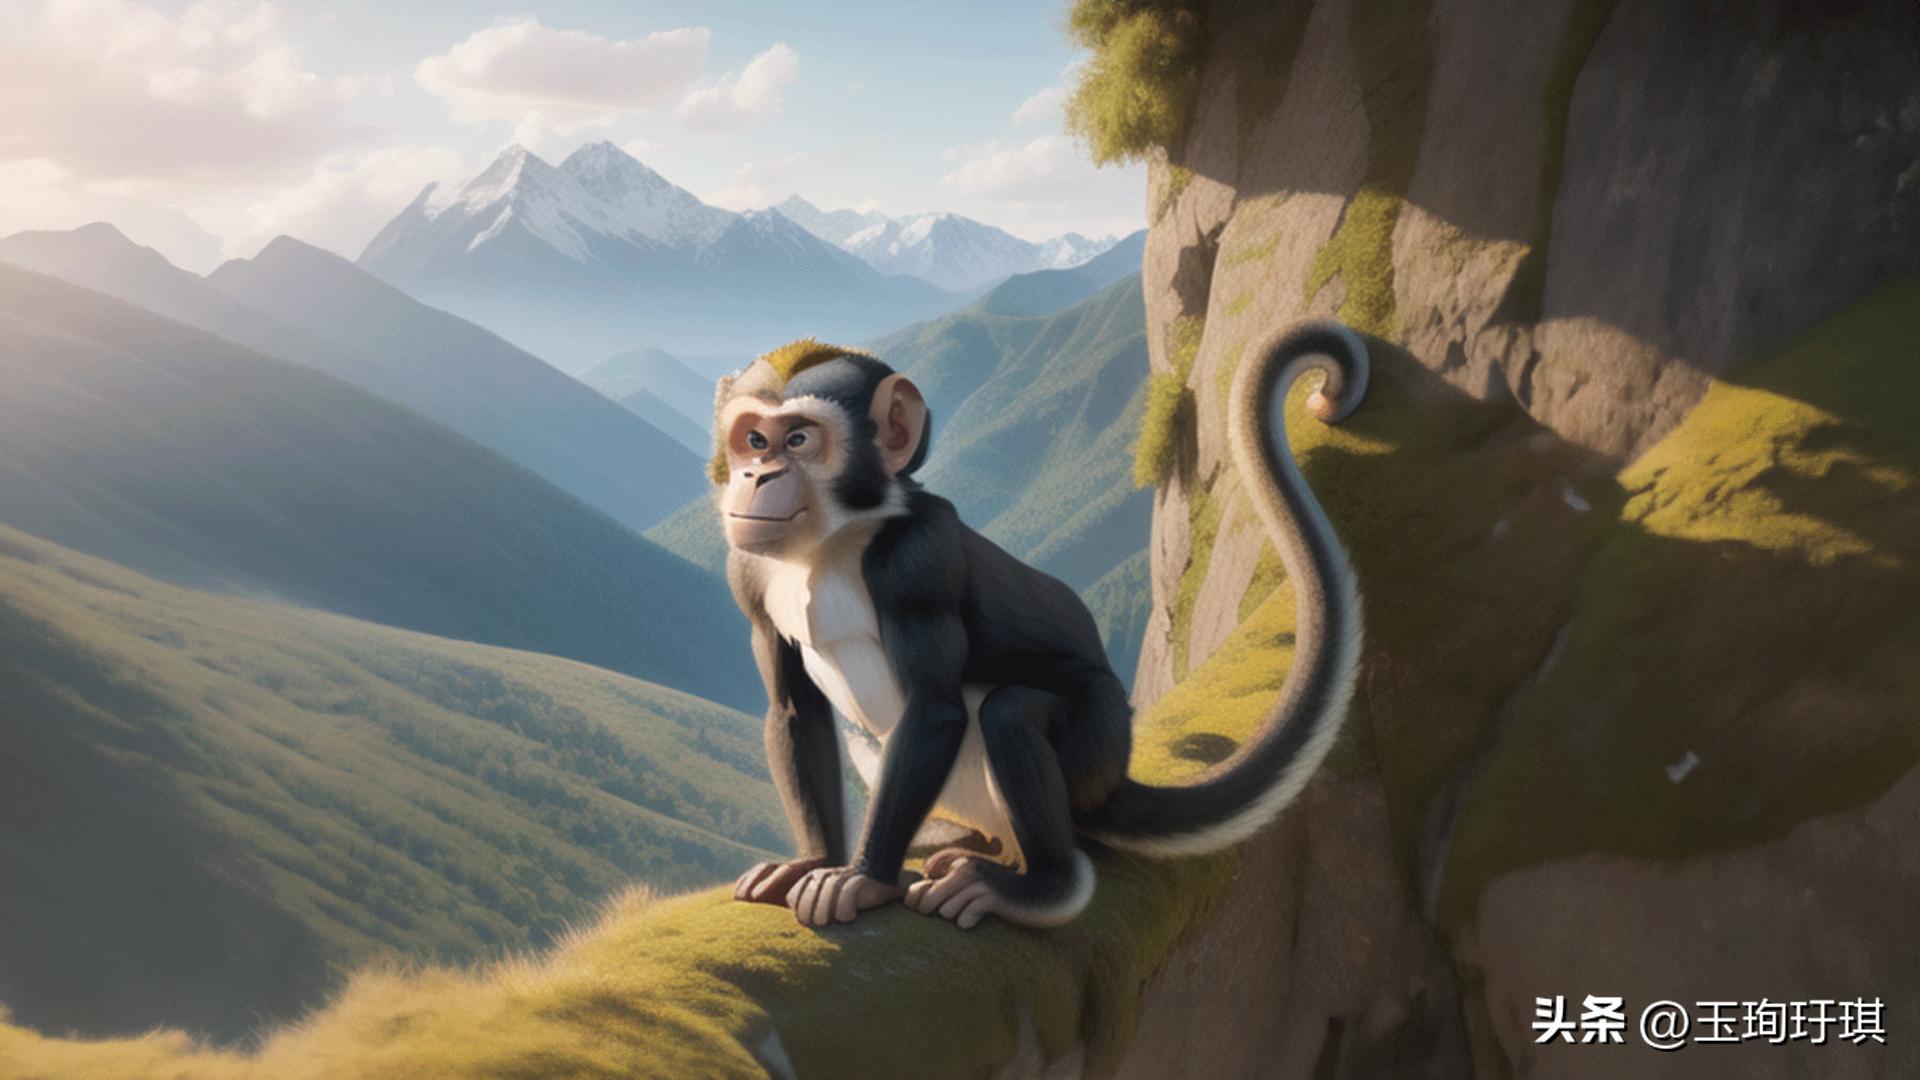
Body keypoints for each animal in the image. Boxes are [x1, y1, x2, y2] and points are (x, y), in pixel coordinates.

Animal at [718, 321, 1368, 930]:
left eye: (799, 439)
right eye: (754, 440)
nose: (756, 477)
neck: (832, 546)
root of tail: (1111, 783)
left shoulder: (918, 562)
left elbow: (935, 708)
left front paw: (863, 877)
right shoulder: (748, 573)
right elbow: (795, 710)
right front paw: (815, 860)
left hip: (1098, 742)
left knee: (1011, 712)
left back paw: (1042, 885)